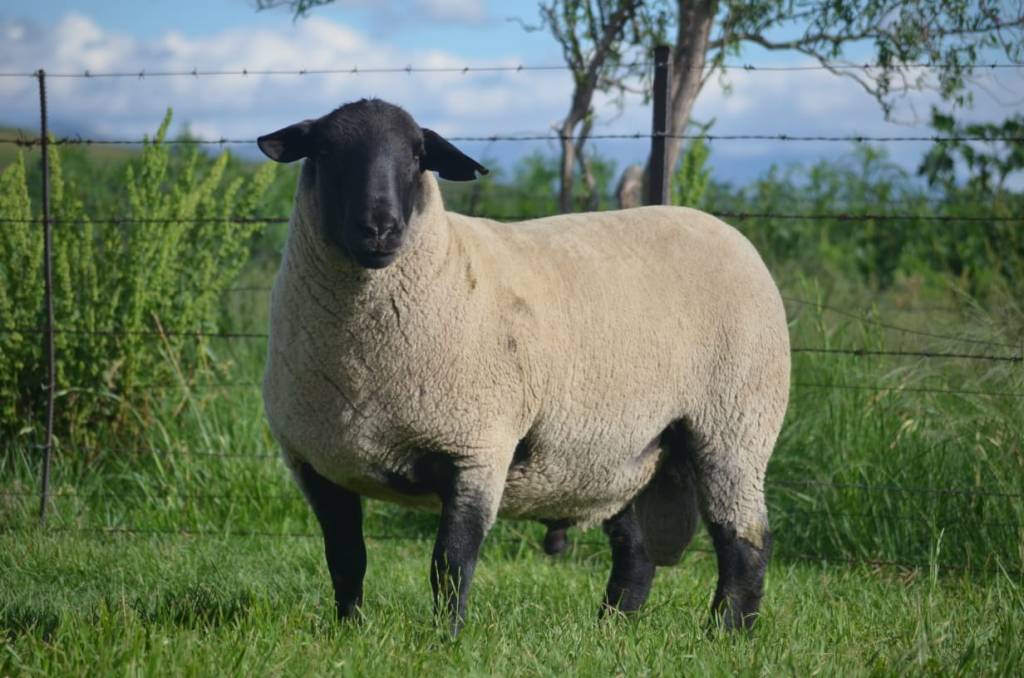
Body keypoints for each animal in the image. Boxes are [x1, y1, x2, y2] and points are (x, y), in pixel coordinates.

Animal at [257, 98, 790, 635]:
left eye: (418, 156)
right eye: (325, 151)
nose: (380, 228)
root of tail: (724, 230)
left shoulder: (476, 447)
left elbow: (450, 563)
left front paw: (446, 638)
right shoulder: (314, 461)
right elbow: (346, 558)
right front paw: (349, 630)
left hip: (735, 424)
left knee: (745, 539)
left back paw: (727, 632)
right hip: (625, 447)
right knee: (636, 550)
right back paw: (611, 628)